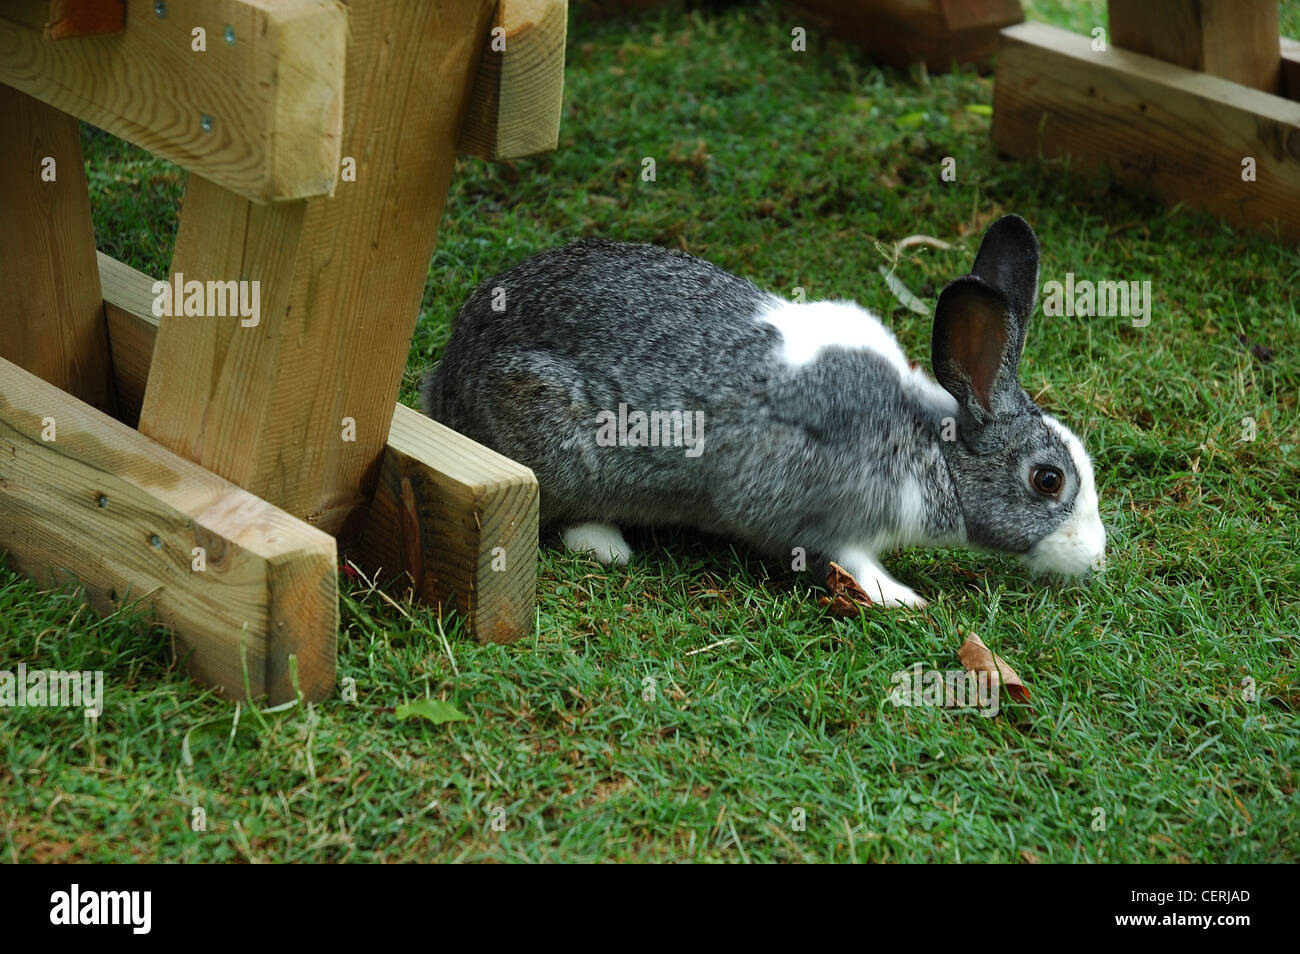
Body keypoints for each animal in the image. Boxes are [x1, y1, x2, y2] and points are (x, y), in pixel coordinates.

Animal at [421, 214, 1106, 607]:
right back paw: (610, 545)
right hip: (554, 438)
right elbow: (844, 556)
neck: (927, 444)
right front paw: (898, 596)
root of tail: (447, 380)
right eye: (1049, 480)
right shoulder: (805, 508)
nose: (1096, 556)